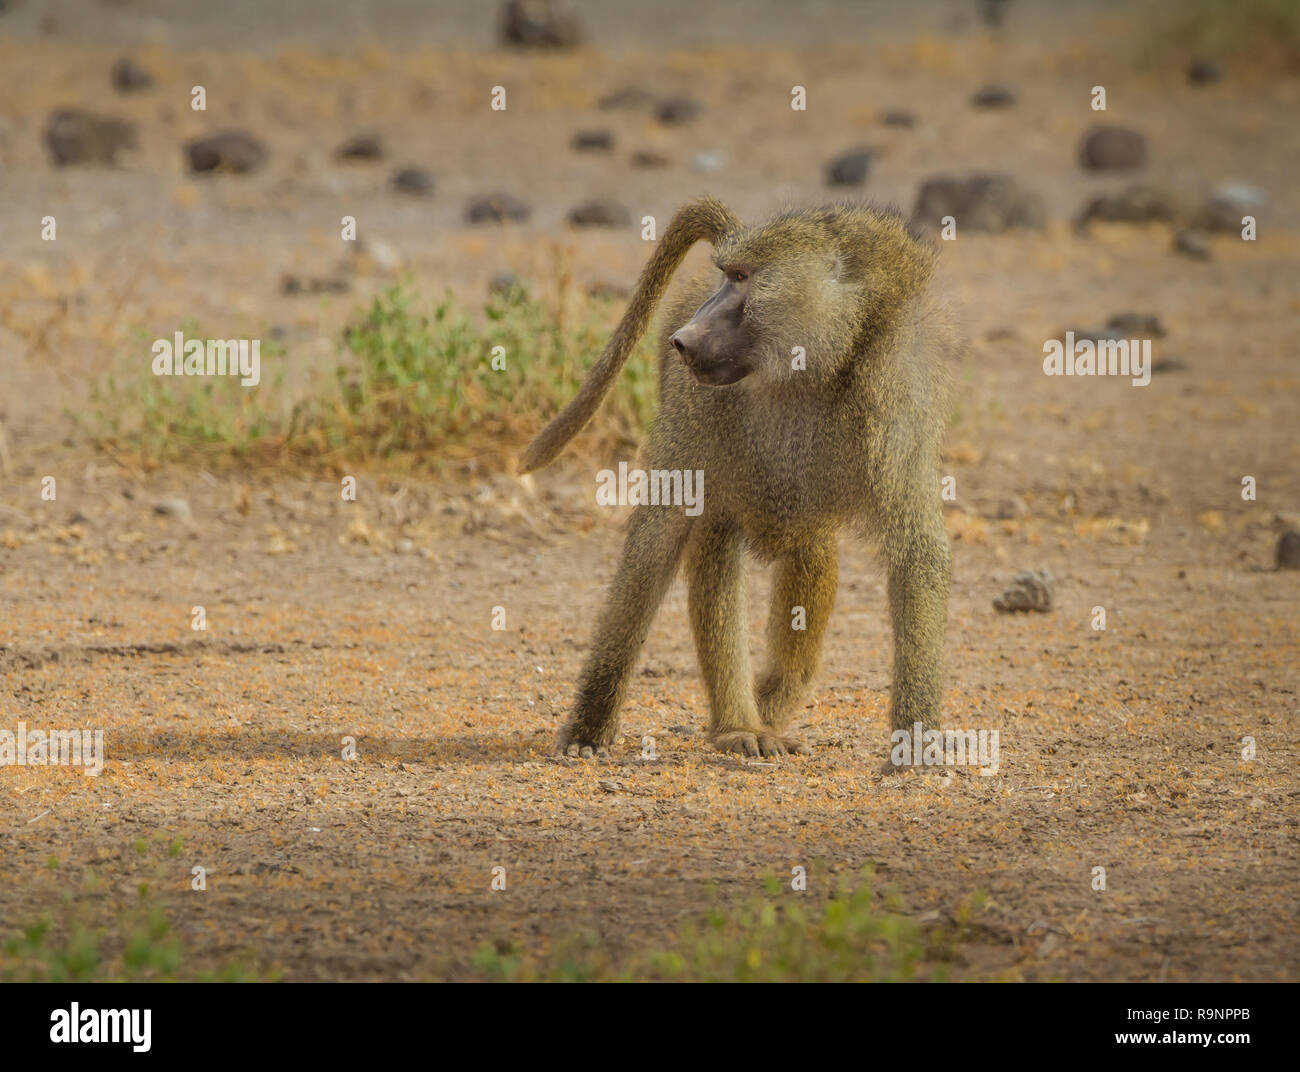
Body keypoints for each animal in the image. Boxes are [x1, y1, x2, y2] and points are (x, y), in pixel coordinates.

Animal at [519, 197, 958, 762]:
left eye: (744, 277)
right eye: (726, 275)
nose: (684, 339)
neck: (805, 373)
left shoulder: (894, 396)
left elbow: (915, 552)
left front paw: (916, 742)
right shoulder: (697, 405)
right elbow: (656, 543)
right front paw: (589, 726)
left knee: (808, 551)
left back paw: (770, 705)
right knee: (718, 539)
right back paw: (738, 725)